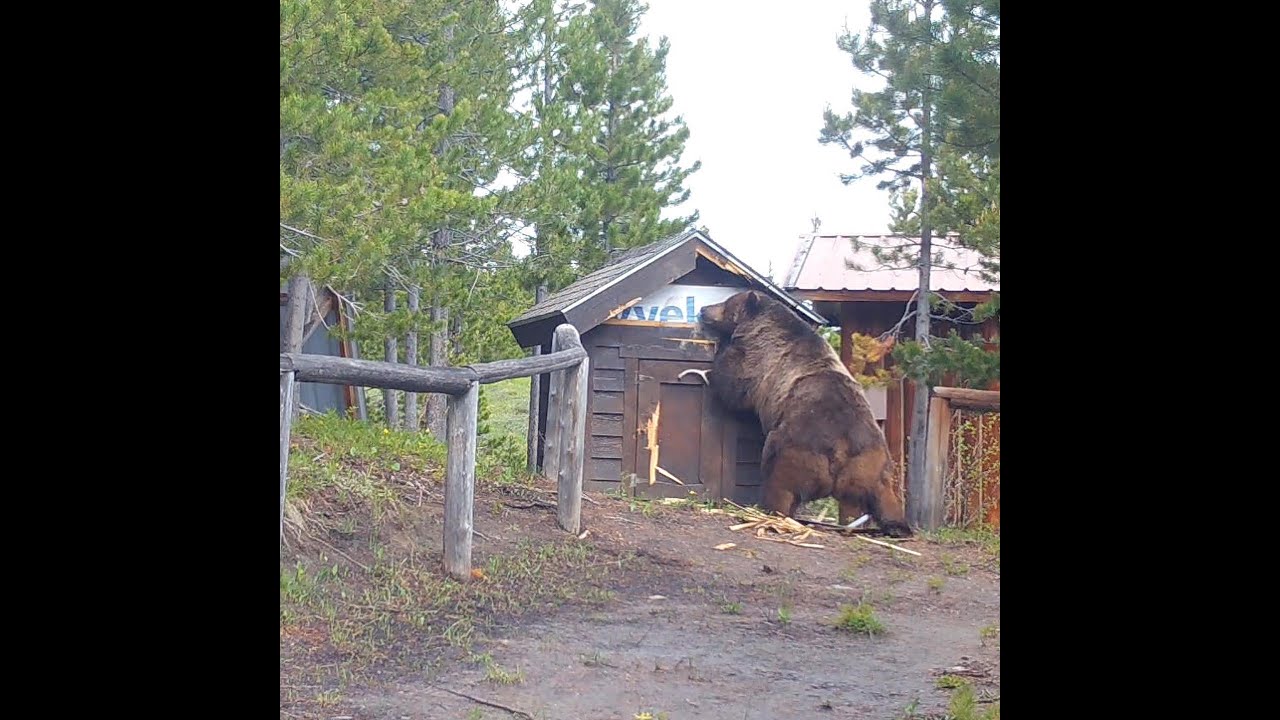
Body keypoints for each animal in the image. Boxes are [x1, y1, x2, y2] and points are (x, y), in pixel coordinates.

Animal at [696, 289, 912, 538]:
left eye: (725, 302)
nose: (703, 309)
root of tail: (841, 450)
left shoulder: (759, 360)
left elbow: (734, 384)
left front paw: (717, 356)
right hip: (871, 460)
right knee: (883, 493)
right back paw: (898, 525)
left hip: (795, 448)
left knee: (779, 479)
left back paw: (770, 511)